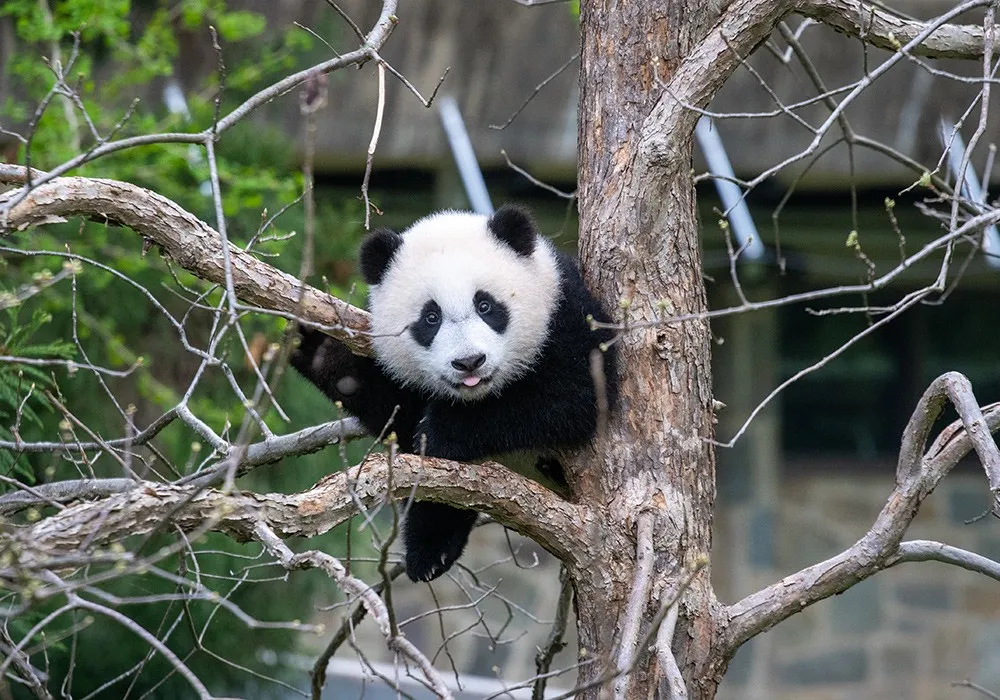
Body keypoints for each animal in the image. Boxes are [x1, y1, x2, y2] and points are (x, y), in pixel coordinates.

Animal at [292, 204, 617, 582]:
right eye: (430, 317)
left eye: (485, 306)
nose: (469, 362)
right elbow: (392, 408)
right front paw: (316, 345)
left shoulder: (565, 308)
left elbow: (574, 395)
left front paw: (441, 429)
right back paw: (429, 552)